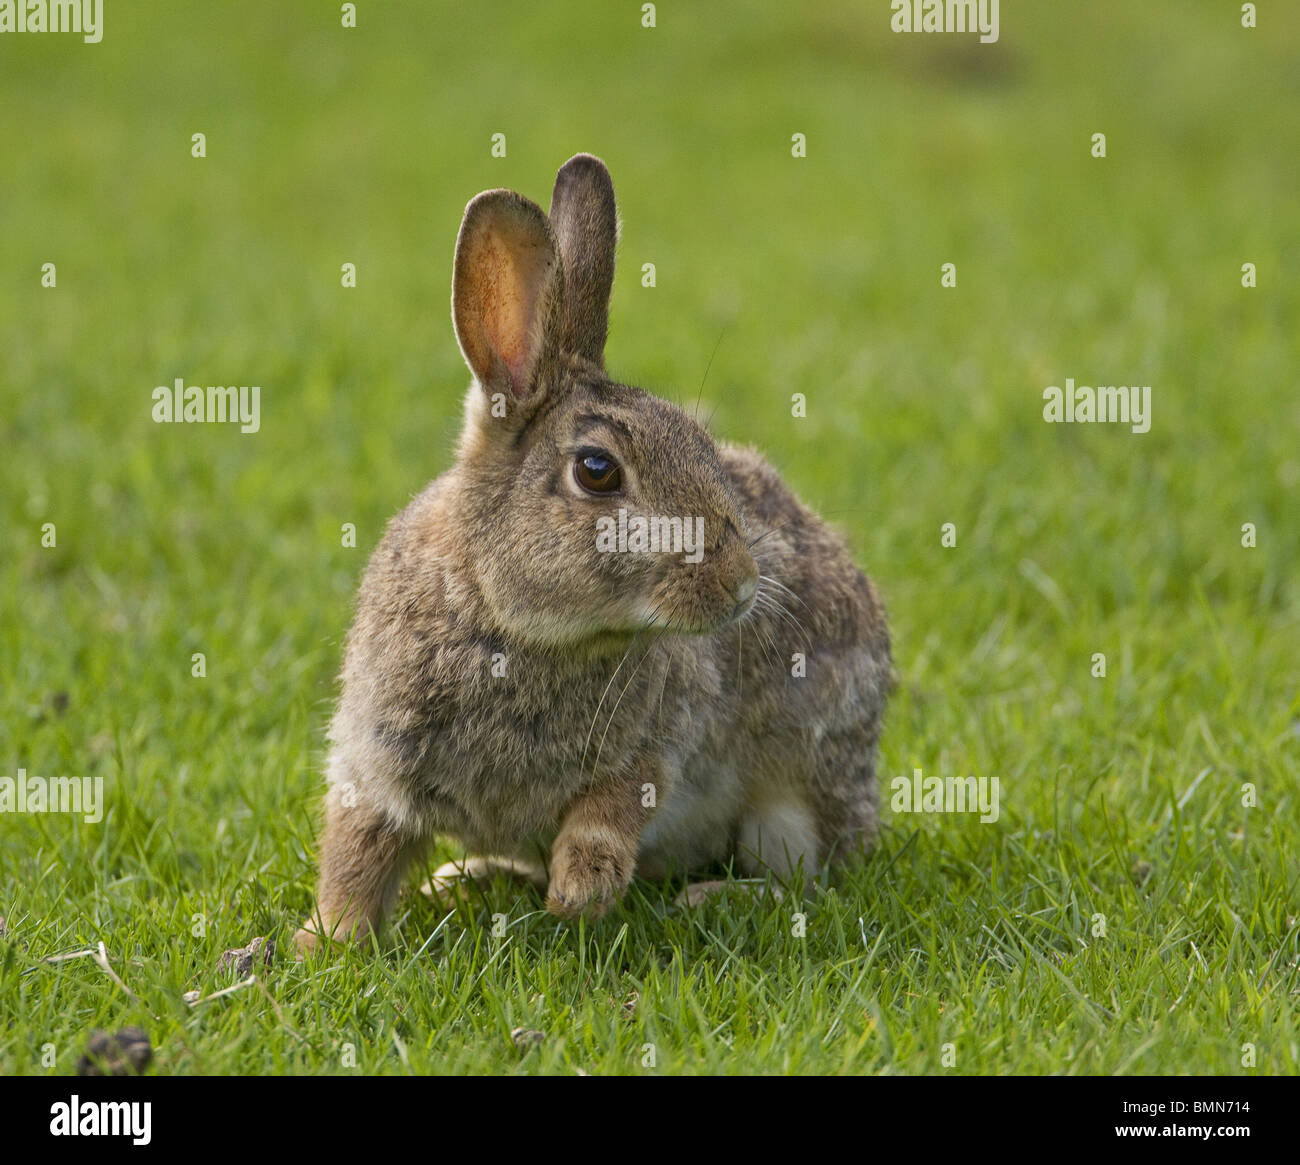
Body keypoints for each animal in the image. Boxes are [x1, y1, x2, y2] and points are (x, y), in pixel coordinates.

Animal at [295, 153, 891, 953]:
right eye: (597, 470)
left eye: (704, 446)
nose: (741, 585)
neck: (507, 622)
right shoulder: (376, 760)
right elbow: (356, 853)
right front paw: (327, 941)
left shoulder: (655, 743)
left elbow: (614, 805)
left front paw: (578, 892)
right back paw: (464, 876)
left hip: (796, 787)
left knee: (805, 877)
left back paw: (708, 898)